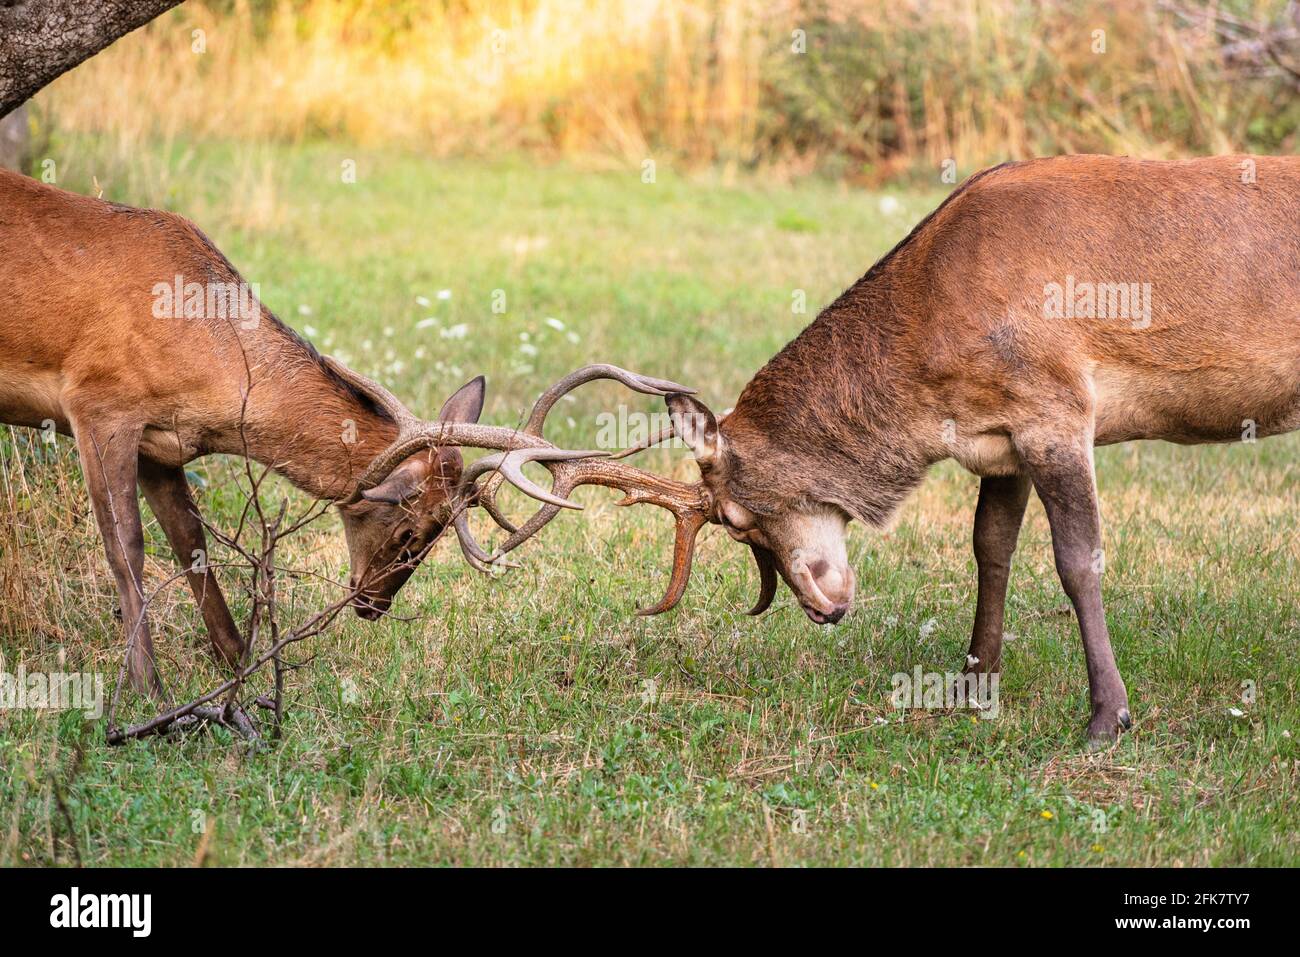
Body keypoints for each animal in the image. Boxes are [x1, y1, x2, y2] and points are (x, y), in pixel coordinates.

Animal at [0, 167, 702, 697]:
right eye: (413, 530)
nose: (373, 605)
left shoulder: (162, 442)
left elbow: (192, 546)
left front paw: (238, 667)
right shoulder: (97, 404)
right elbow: (128, 550)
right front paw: (147, 689)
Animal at [468, 154, 1298, 749]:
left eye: (735, 518)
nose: (821, 606)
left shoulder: (1056, 404)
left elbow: (1077, 558)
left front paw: (1106, 717)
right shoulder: (1001, 436)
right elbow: (990, 545)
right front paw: (972, 684)